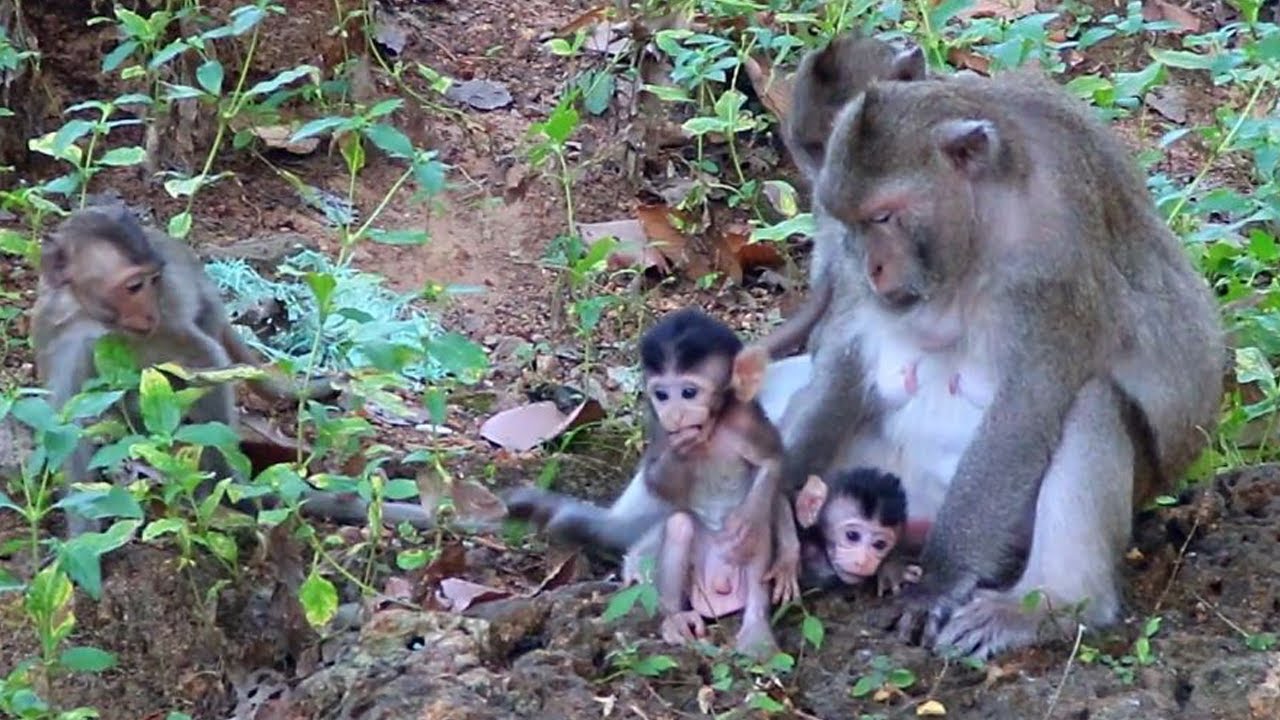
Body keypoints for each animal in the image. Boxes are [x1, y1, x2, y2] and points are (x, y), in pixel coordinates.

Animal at [31, 206, 439, 536]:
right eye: (133, 286)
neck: (89, 316)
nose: (149, 312)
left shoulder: (160, 327)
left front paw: (228, 485)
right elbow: (67, 421)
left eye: (154, 281)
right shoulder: (56, 332)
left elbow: (207, 362)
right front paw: (82, 536)